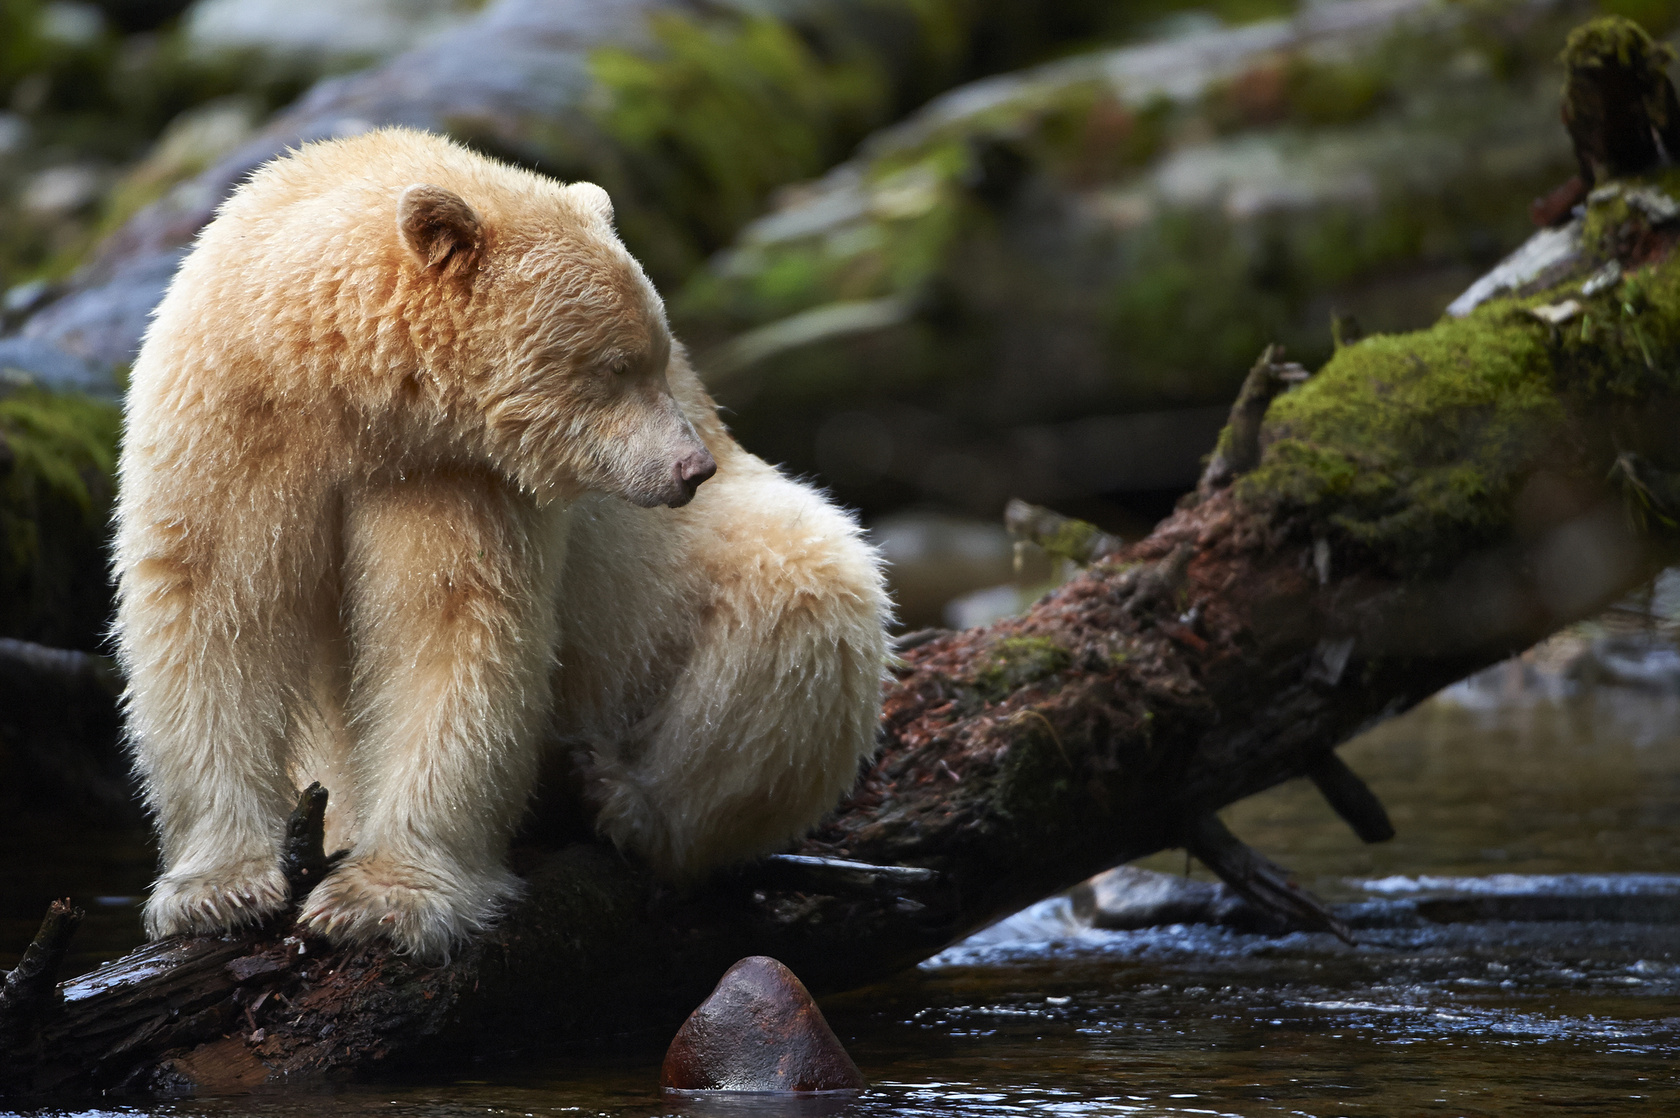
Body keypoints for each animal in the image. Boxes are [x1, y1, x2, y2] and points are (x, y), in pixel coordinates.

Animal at [112, 128, 890, 960]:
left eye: (660, 354)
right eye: (617, 366)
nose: (693, 467)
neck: (341, 383)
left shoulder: (458, 470)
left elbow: (448, 623)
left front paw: (382, 901)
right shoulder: (236, 419)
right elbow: (214, 606)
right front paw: (215, 890)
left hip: (688, 591)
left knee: (805, 603)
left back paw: (623, 799)